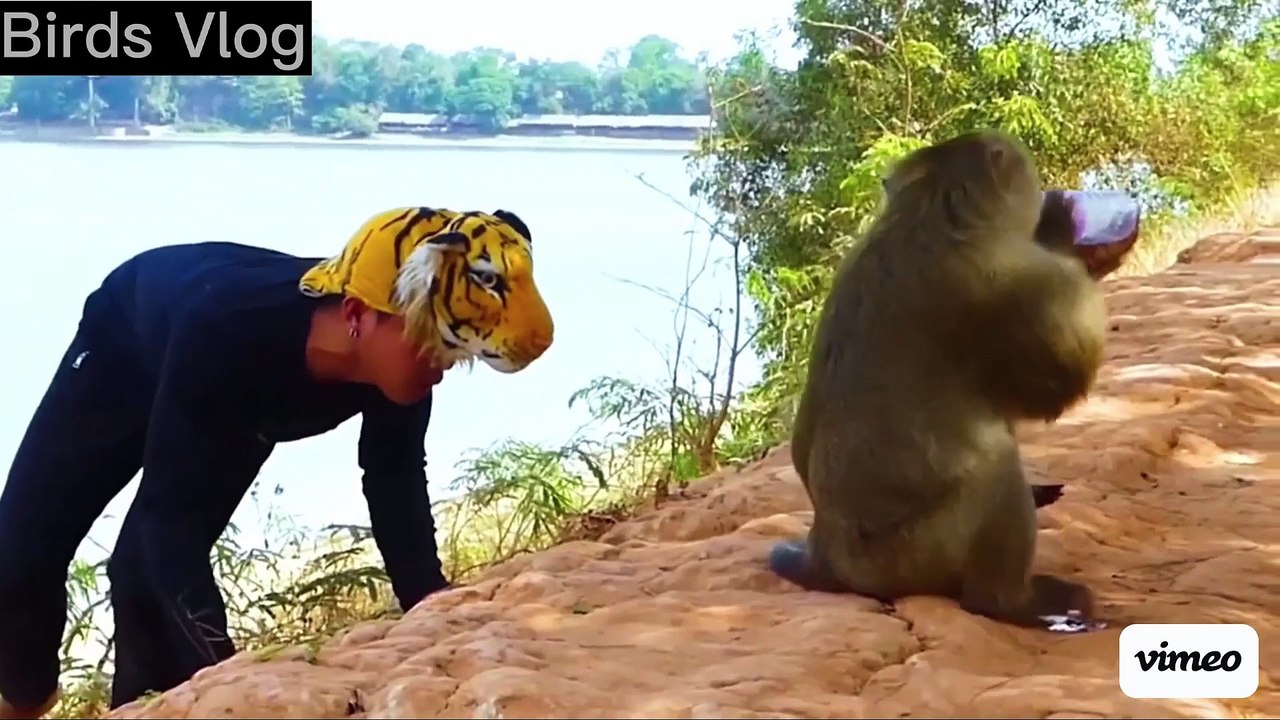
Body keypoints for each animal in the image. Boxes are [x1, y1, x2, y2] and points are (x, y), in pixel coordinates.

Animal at [772, 129, 1106, 630]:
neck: (926, 214)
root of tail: (829, 559)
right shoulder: (1017, 281)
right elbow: (1057, 385)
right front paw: (1060, 228)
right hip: (922, 553)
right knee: (996, 468)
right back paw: (1009, 602)